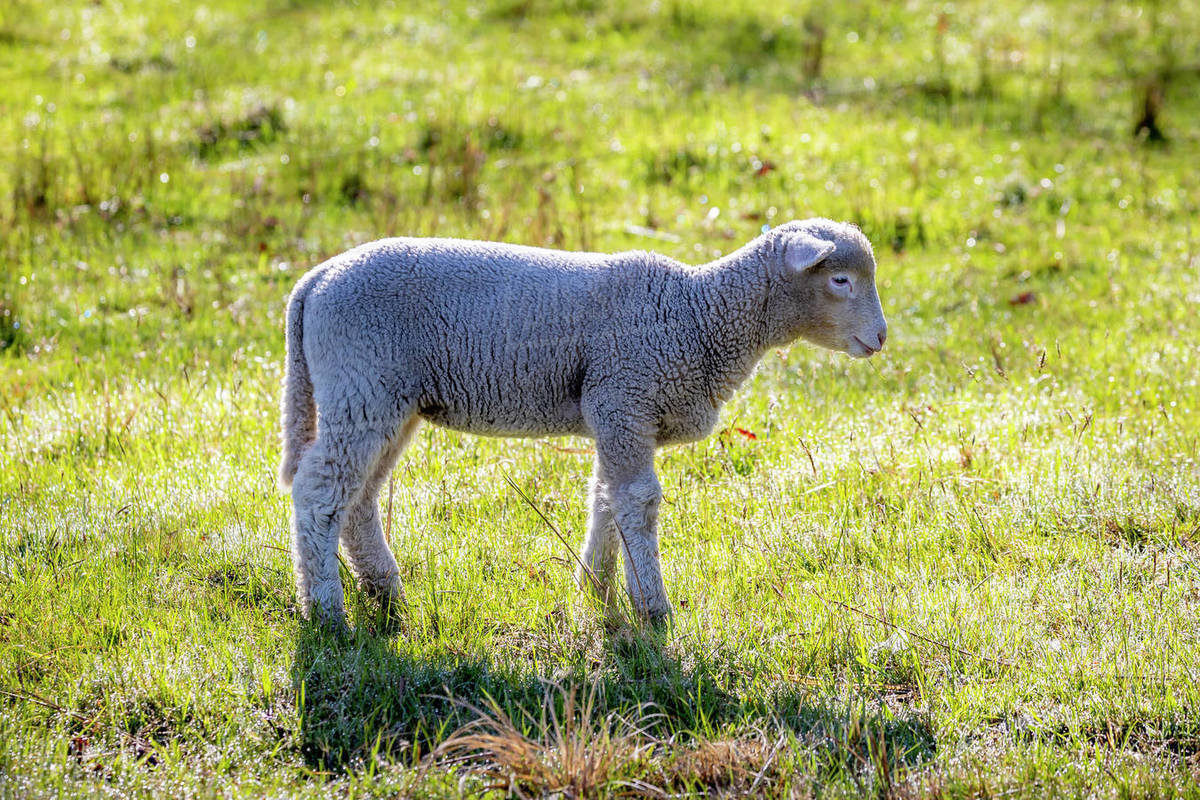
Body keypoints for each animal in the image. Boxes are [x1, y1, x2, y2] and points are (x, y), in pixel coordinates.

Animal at [279, 219, 887, 626]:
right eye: (840, 280)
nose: (881, 338)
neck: (698, 316)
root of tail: (316, 279)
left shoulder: (618, 414)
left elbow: (605, 497)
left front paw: (596, 586)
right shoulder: (625, 395)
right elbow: (638, 502)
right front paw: (653, 610)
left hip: (387, 400)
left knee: (359, 497)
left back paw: (384, 592)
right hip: (362, 382)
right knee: (319, 492)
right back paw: (325, 610)